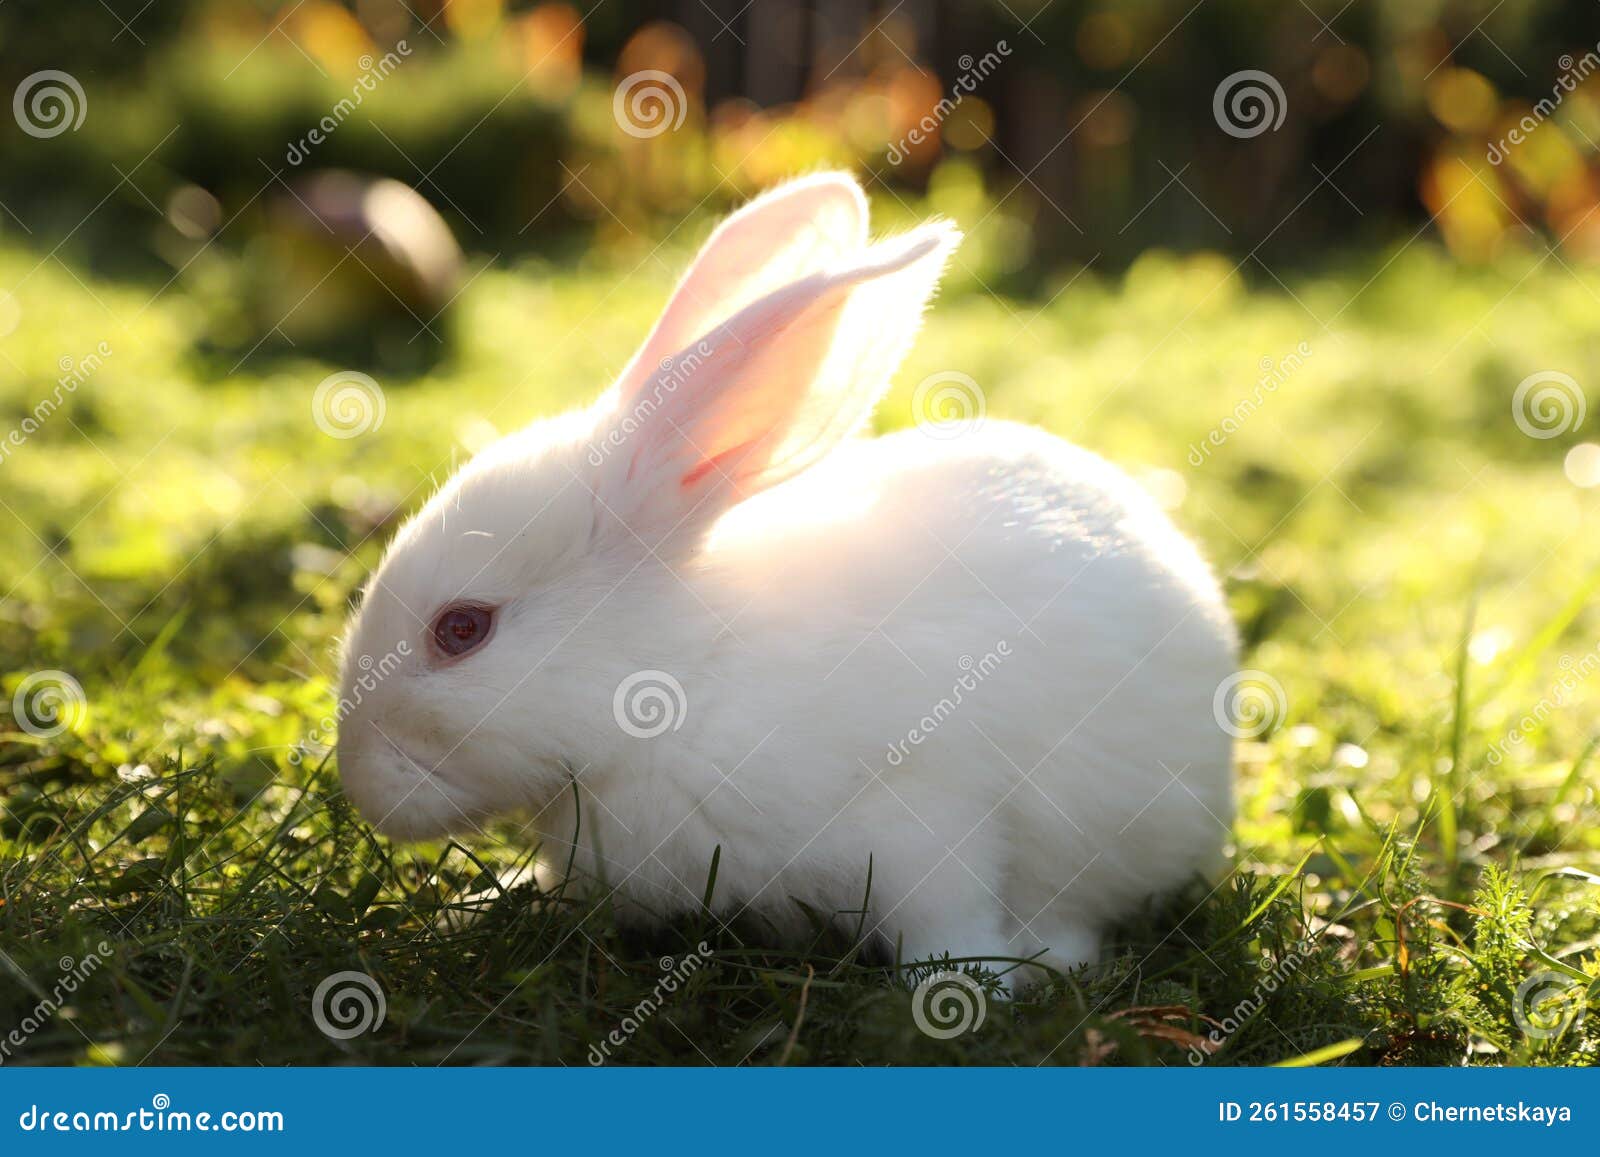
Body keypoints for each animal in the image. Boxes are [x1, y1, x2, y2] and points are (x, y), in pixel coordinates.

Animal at [335, 171, 1237, 983]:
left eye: (462, 629)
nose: (362, 785)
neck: (681, 682)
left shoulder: (926, 814)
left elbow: (949, 920)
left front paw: (980, 982)